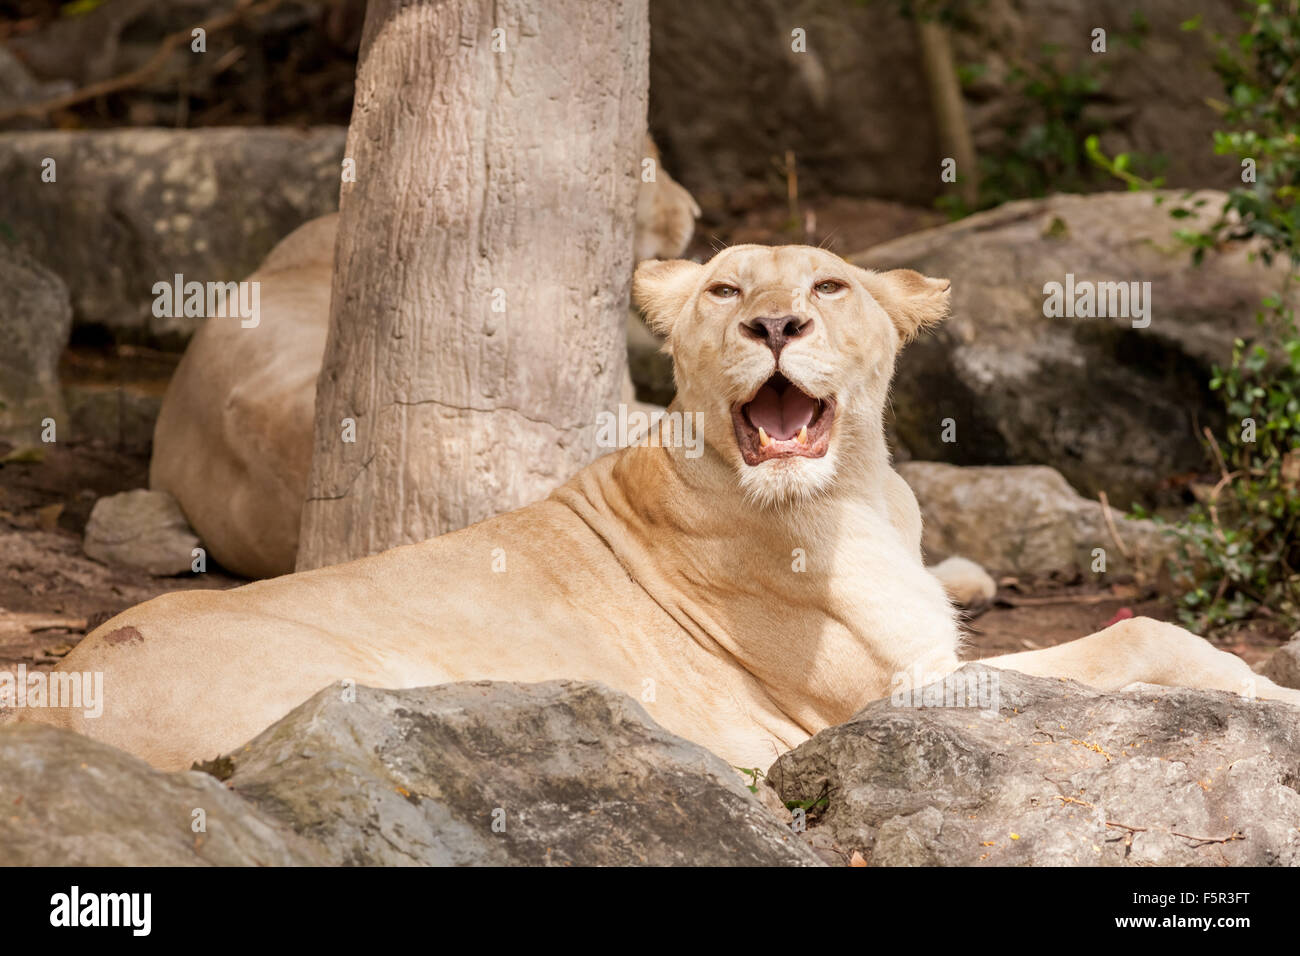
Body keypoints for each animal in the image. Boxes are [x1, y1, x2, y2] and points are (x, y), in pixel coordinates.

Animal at [25, 244, 1299, 772]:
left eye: (827, 284)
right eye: (727, 286)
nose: (775, 323)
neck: (860, 488)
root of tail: (50, 684)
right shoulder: (888, 701)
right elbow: (1140, 636)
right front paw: (1264, 689)